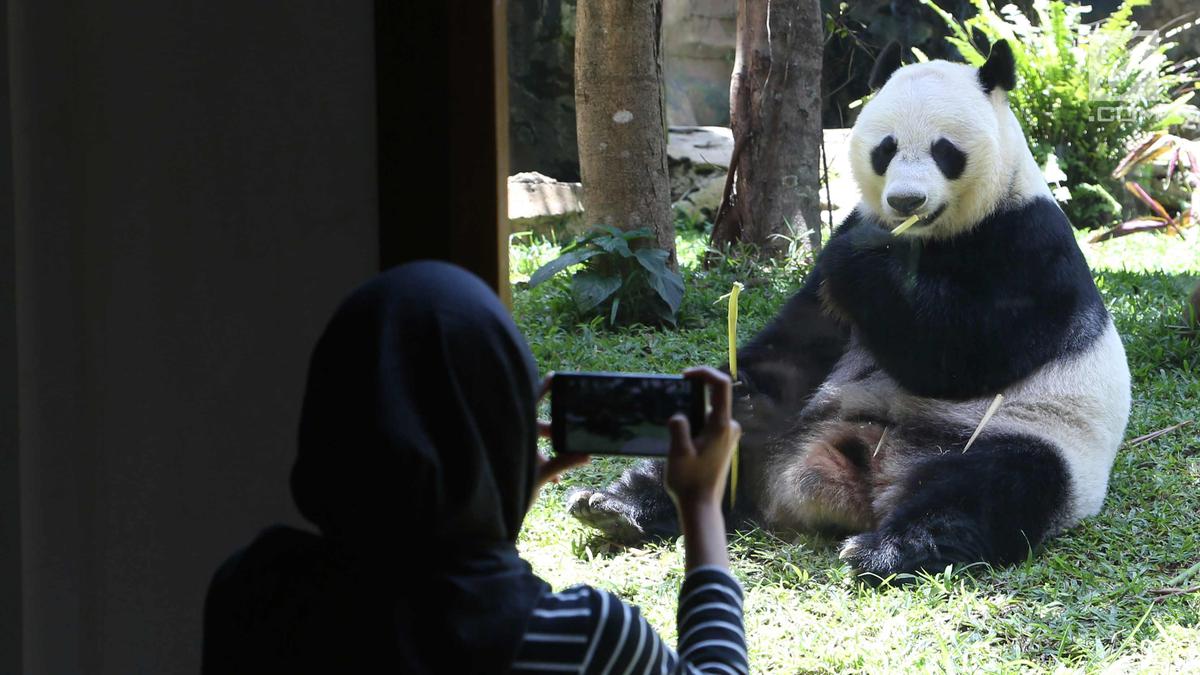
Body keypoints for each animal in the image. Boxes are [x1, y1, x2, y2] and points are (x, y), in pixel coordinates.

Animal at [568, 40, 1132, 578]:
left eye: (945, 150)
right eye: (886, 148)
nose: (906, 202)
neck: (927, 237)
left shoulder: (1029, 244)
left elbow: (965, 353)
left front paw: (866, 266)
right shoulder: (854, 230)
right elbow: (804, 339)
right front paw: (745, 387)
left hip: (1023, 440)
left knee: (990, 488)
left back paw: (887, 550)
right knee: (703, 446)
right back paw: (617, 506)